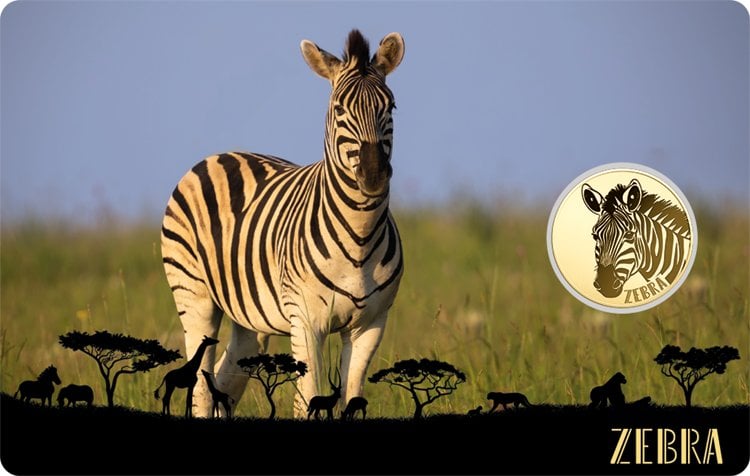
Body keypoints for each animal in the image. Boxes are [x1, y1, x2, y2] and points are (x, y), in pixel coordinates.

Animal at [160, 29, 405, 418]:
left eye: (391, 106)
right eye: (338, 109)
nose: (374, 175)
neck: (361, 237)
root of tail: (218, 155)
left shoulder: (371, 324)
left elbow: (351, 396)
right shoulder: (305, 321)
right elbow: (306, 400)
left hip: (247, 319)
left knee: (225, 379)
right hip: (193, 296)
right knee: (200, 386)